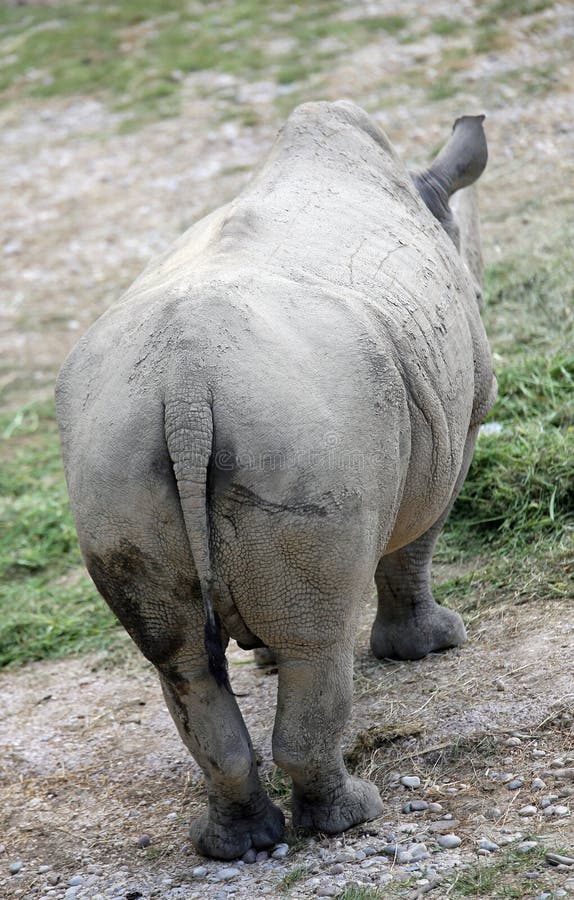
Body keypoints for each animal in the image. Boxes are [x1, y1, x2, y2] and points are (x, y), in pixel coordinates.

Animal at [56, 101, 496, 860]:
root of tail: (185, 383)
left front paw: (261, 656)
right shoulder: (457, 426)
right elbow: (415, 545)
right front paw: (433, 645)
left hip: (114, 453)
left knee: (181, 662)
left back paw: (233, 844)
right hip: (307, 425)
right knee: (317, 645)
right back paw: (353, 816)